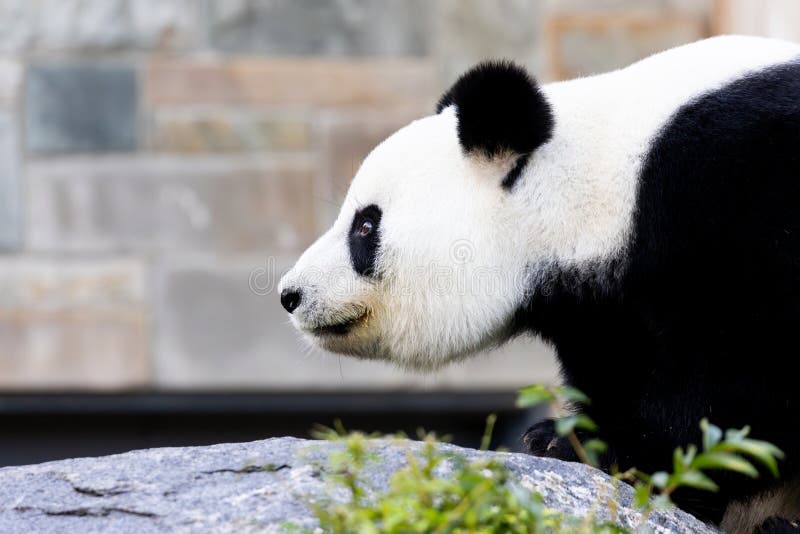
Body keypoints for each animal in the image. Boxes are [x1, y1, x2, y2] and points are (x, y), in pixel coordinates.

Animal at [278, 36, 800, 532]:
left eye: (366, 226)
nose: (290, 295)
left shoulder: (737, 193)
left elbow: (742, 370)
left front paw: (588, 445)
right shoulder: (606, 302)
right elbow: (617, 362)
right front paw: (565, 436)